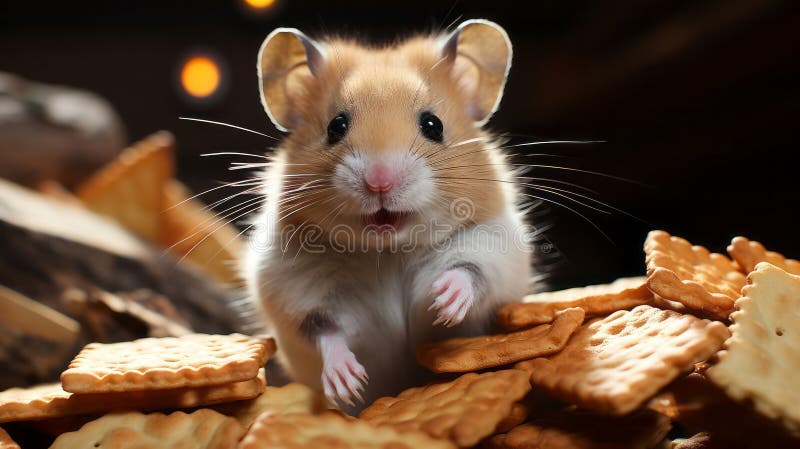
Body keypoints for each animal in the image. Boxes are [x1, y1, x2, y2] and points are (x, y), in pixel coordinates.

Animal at [243, 19, 534, 414]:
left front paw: (443, 300)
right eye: (335, 127)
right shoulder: (294, 289)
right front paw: (347, 384)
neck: (388, 250)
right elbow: (326, 330)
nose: (379, 182)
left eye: (433, 125)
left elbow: (469, 271)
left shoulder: (495, 246)